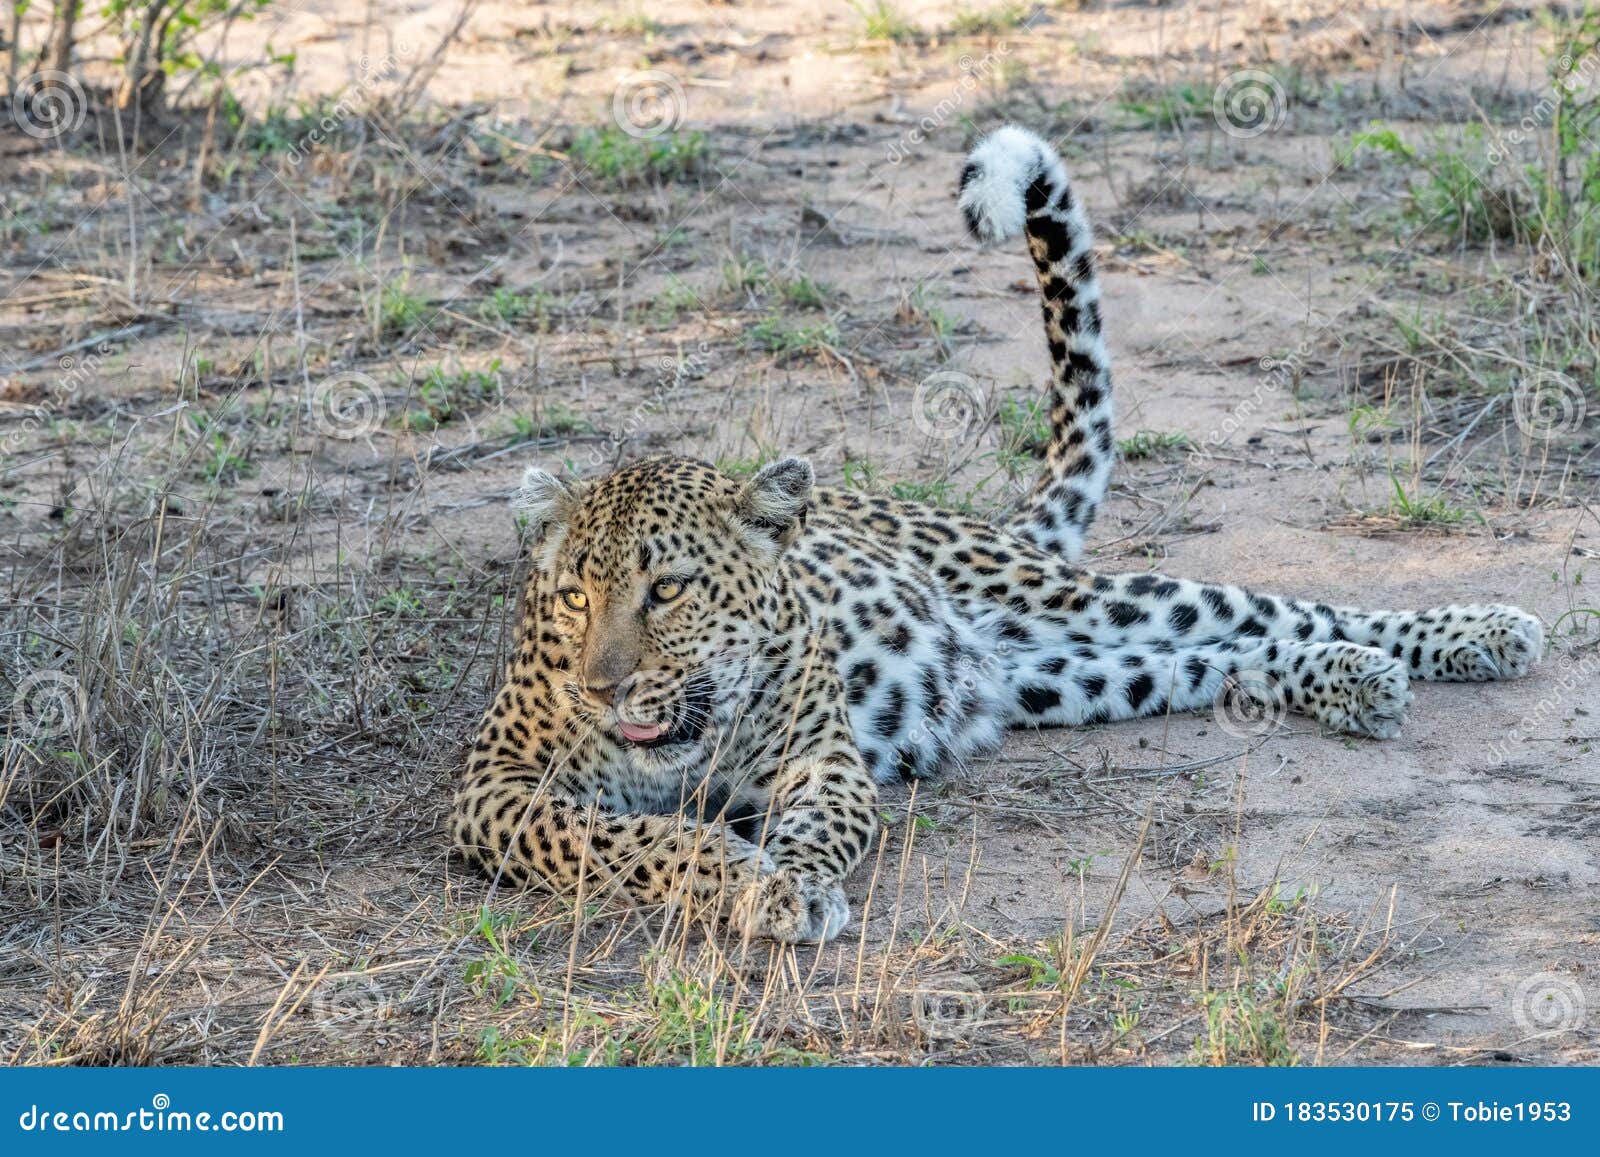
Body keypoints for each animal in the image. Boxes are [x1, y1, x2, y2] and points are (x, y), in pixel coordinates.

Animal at [452, 125, 1546, 943]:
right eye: (575, 594)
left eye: (668, 588)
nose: (602, 688)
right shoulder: (494, 789)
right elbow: (620, 839)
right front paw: (745, 875)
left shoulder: (823, 761)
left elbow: (810, 825)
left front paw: (788, 880)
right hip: (1056, 673)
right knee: (1217, 657)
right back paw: (1357, 682)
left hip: (1061, 593)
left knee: (1274, 608)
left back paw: (1477, 633)